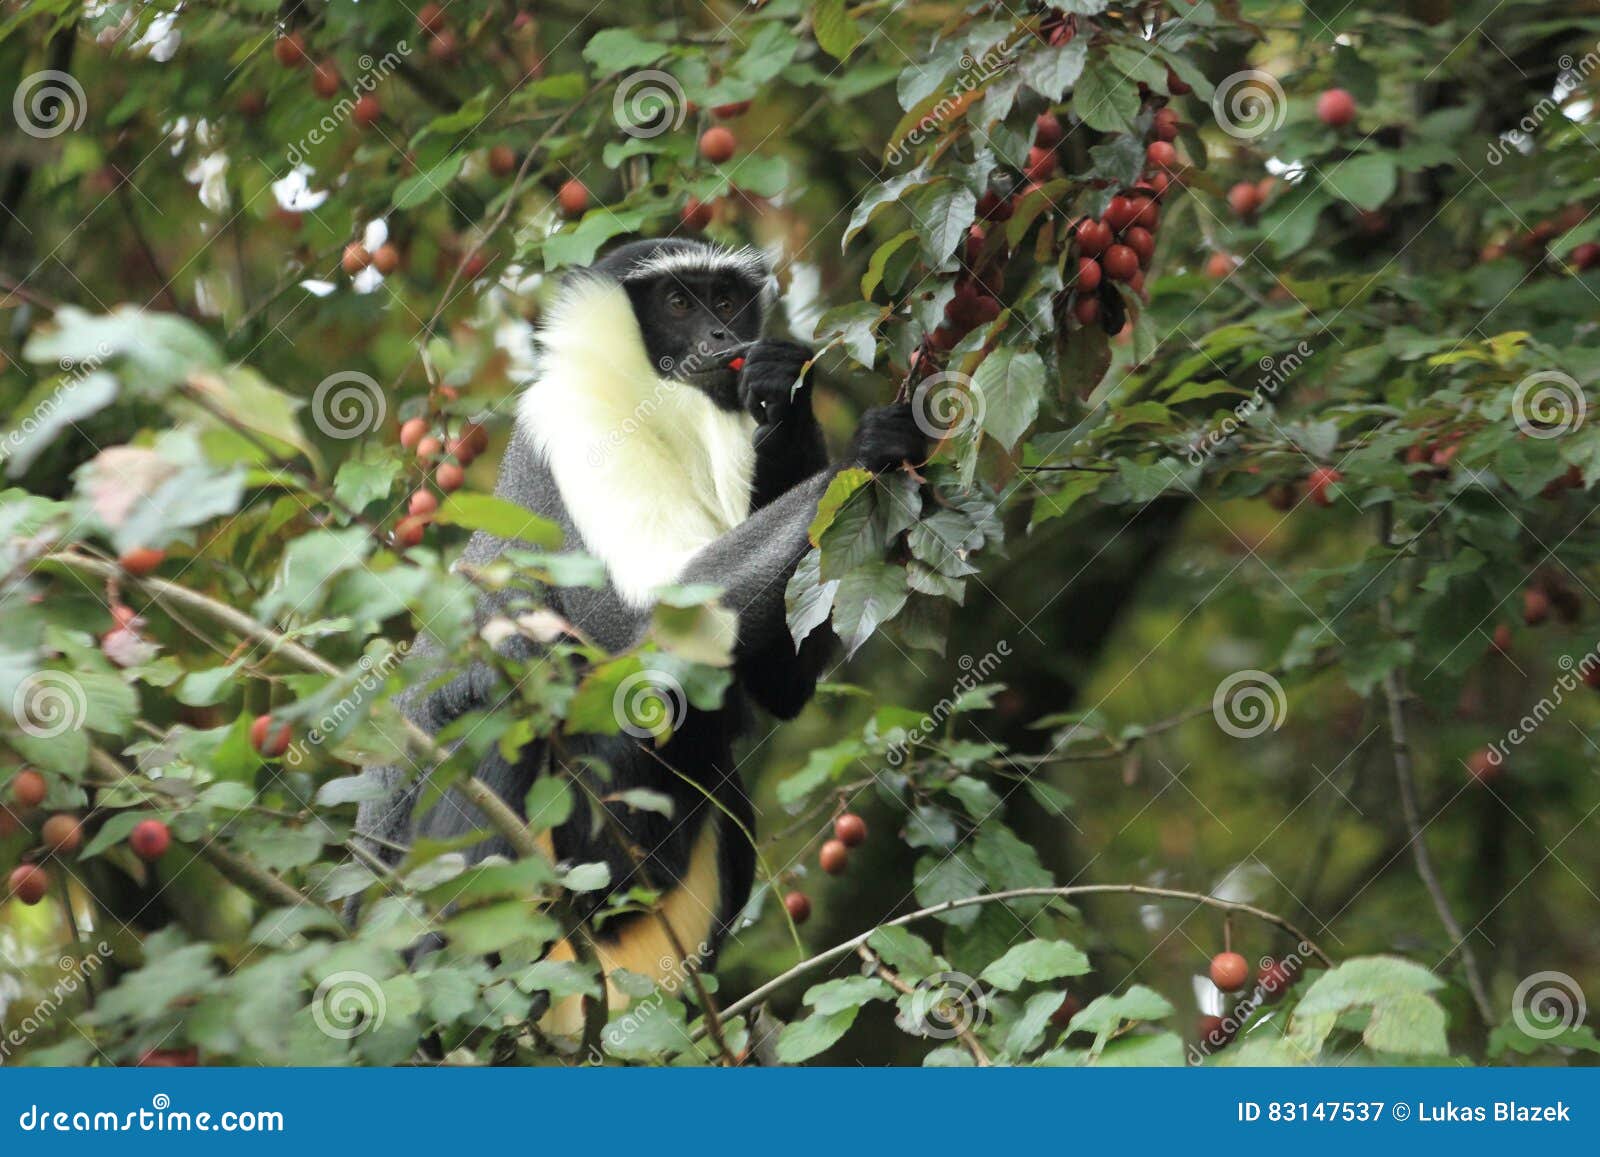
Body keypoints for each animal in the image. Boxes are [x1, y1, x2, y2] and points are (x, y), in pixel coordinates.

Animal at [353, 238, 926, 1031]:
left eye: (726, 302)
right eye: (677, 303)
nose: (721, 338)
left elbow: (777, 685)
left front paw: (788, 399)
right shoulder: (573, 426)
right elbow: (656, 618)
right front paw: (868, 449)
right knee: (502, 687)